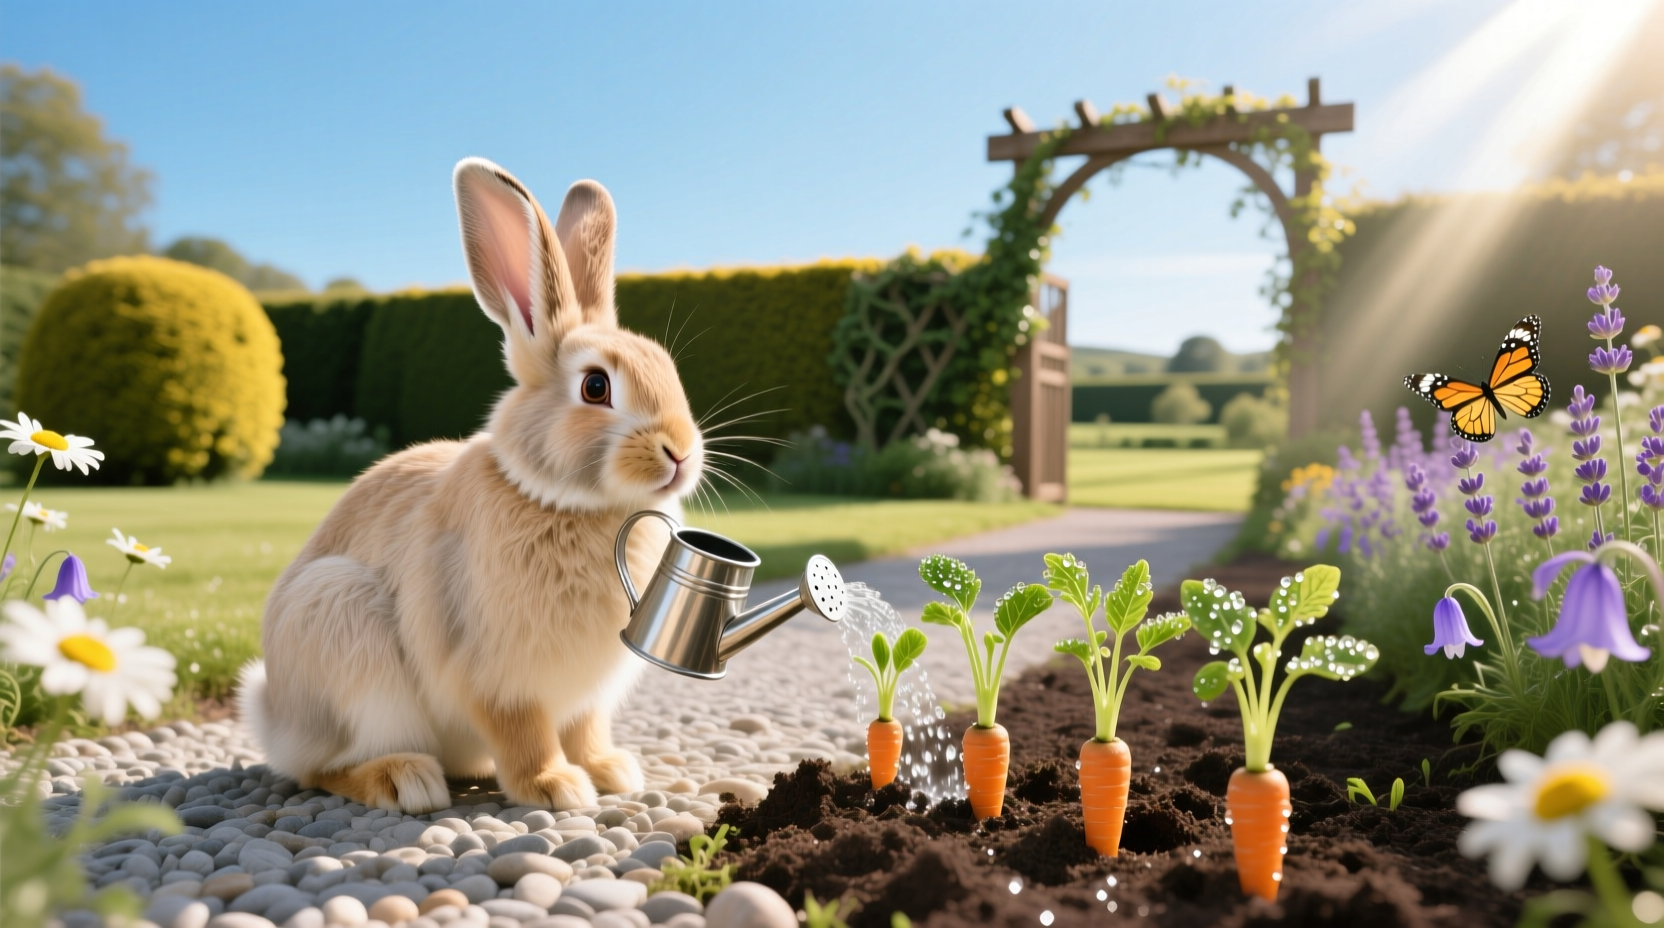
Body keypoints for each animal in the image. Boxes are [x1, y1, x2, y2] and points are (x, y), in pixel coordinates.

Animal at [238, 157, 703, 813]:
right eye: (595, 387)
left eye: (667, 368)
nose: (682, 453)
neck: (562, 501)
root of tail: (272, 713)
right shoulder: (495, 674)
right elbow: (522, 732)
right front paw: (556, 787)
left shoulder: (585, 697)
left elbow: (585, 729)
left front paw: (610, 771)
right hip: (339, 626)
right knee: (321, 769)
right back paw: (402, 779)